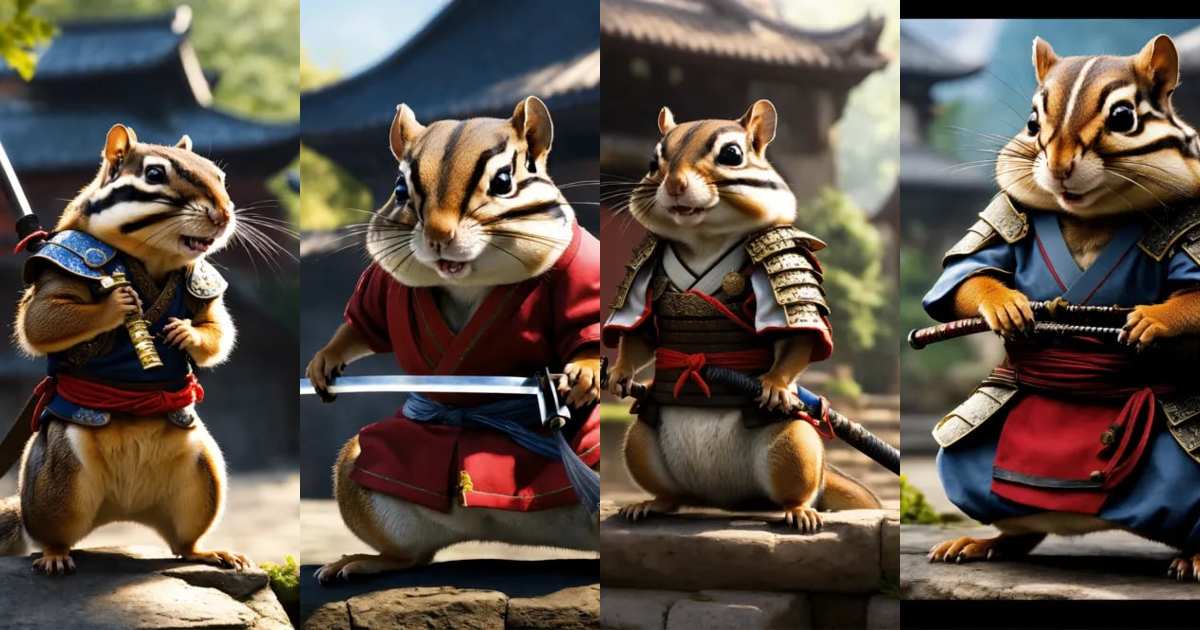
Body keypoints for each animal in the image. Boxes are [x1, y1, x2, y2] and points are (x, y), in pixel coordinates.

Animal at [0, 124, 248, 574]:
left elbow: (217, 329)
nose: (223, 215)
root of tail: (122, 510)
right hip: (58, 483)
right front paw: (119, 302)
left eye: (219, 176)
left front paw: (184, 332)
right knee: (50, 533)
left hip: (203, 478)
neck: (151, 259)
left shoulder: (203, 281)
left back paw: (210, 553)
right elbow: (40, 319)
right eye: (154, 174)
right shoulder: (64, 262)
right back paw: (55, 556)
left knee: (184, 542)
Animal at [305, 96, 602, 583]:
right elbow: (360, 327)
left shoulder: (581, 269)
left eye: (504, 181)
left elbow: (587, 330)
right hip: (355, 470)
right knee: (414, 556)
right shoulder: (380, 289)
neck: (468, 280)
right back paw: (363, 561)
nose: (438, 237)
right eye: (400, 189)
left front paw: (584, 373)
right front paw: (324, 362)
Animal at [603, 101, 881, 533]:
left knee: (797, 486)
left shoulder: (782, 258)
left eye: (732, 155)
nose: (674, 185)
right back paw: (649, 504)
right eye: (652, 162)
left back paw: (800, 511)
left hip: (794, 444)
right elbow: (639, 334)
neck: (703, 240)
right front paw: (619, 374)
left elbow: (799, 335)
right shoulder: (643, 266)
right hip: (639, 441)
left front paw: (775, 385)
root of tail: (724, 500)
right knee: (671, 493)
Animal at [924, 35, 1200, 581]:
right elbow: (968, 273)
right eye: (1033, 123)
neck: (1091, 215)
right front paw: (1006, 305)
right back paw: (989, 540)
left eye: (1123, 118)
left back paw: (1195, 555)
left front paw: (1153, 319)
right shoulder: (1002, 215)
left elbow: (1196, 295)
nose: (1056, 166)